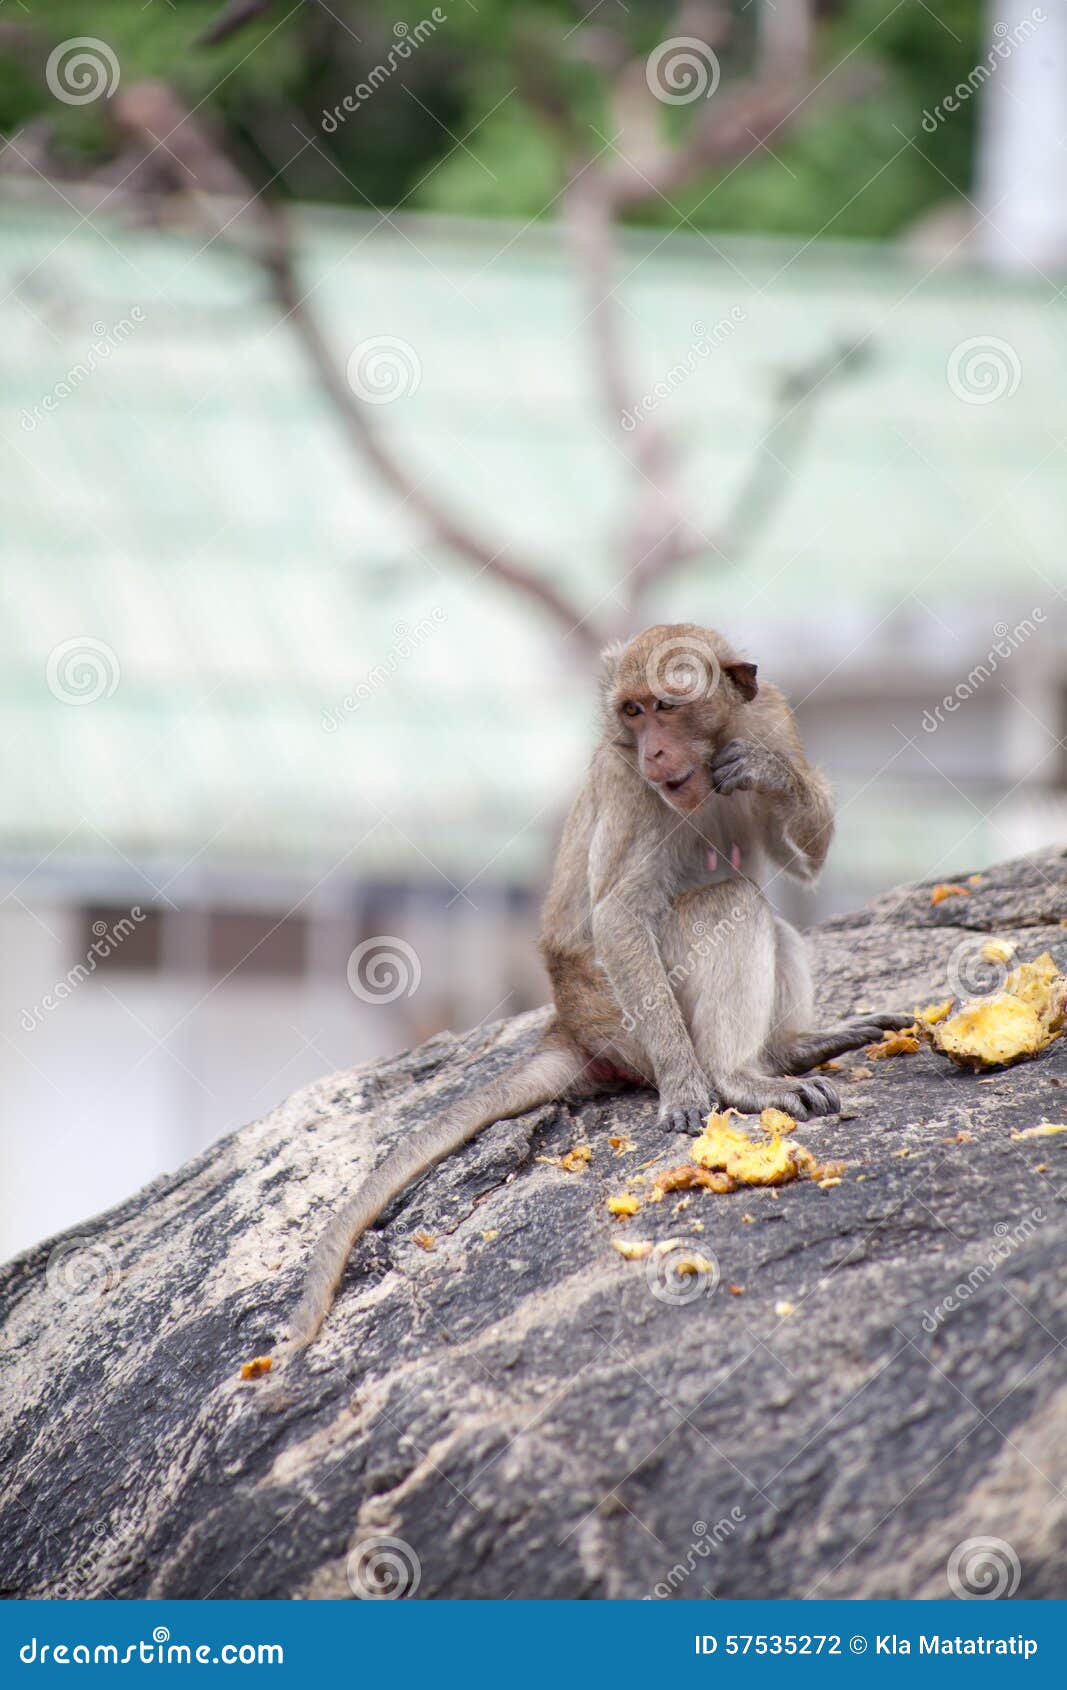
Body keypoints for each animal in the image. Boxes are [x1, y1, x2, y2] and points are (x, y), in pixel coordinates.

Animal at [279, 624, 910, 1358]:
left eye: (667, 706)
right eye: (633, 712)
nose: (655, 751)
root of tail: (571, 1024)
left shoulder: (773, 719)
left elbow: (798, 859)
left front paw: (768, 773)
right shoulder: (627, 780)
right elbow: (619, 917)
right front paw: (690, 1087)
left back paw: (791, 1049)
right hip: (626, 1022)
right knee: (729, 903)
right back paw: (740, 1076)